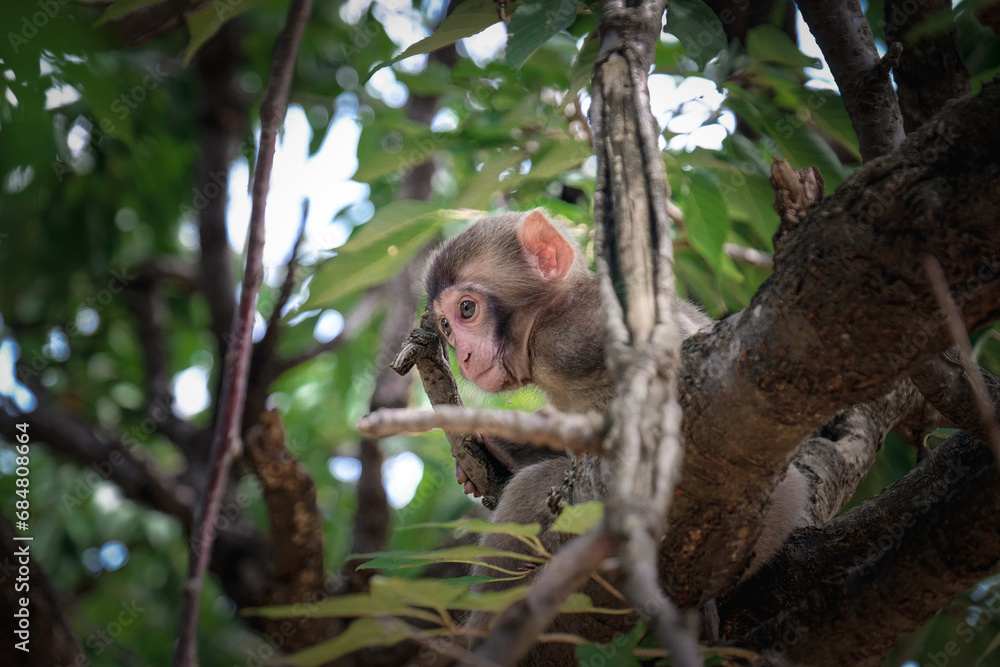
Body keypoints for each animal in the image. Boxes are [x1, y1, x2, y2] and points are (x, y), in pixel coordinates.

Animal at [423, 209, 808, 659]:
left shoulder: (576, 335)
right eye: (446, 326)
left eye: (467, 309)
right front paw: (497, 448)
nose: (464, 357)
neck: (543, 322)